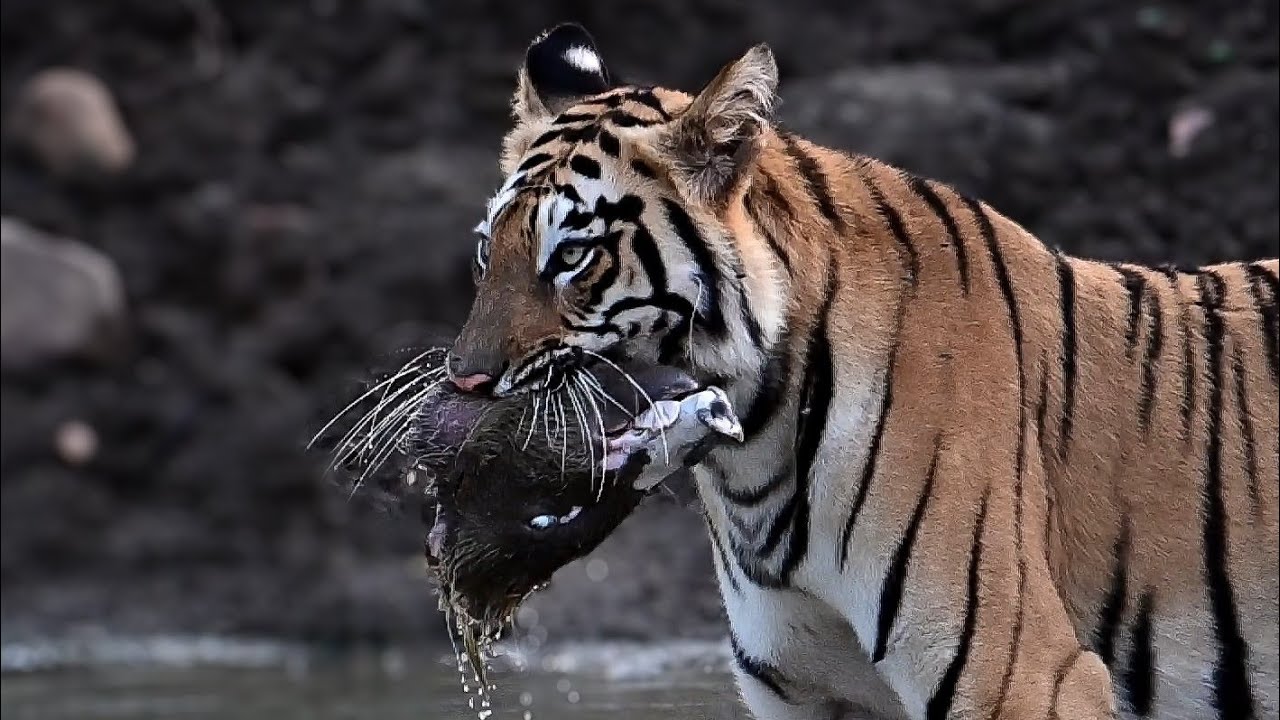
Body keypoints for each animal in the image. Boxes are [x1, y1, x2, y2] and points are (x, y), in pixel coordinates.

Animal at [442, 22, 1280, 720]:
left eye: (572, 256)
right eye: (488, 251)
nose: (466, 380)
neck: (757, 457)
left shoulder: (1022, 676)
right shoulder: (808, 690)